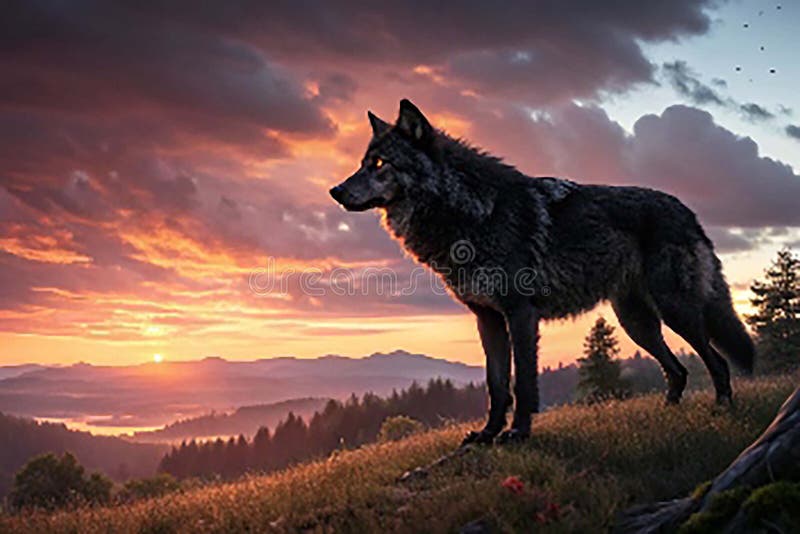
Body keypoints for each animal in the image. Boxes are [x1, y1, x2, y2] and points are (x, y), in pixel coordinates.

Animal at [330, 99, 755, 445]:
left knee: (716, 361)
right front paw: (487, 435)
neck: (470, 213)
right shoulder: (488, 319)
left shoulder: (520, 314)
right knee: (678, 370)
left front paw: (518, 433)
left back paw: (721, 410)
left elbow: (523, 381)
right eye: (361, 164)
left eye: (380, 164)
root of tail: (687, 210)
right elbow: (496, 384)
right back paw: (665, 415)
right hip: (637, 323)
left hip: (675, 312)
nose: (335, 191)